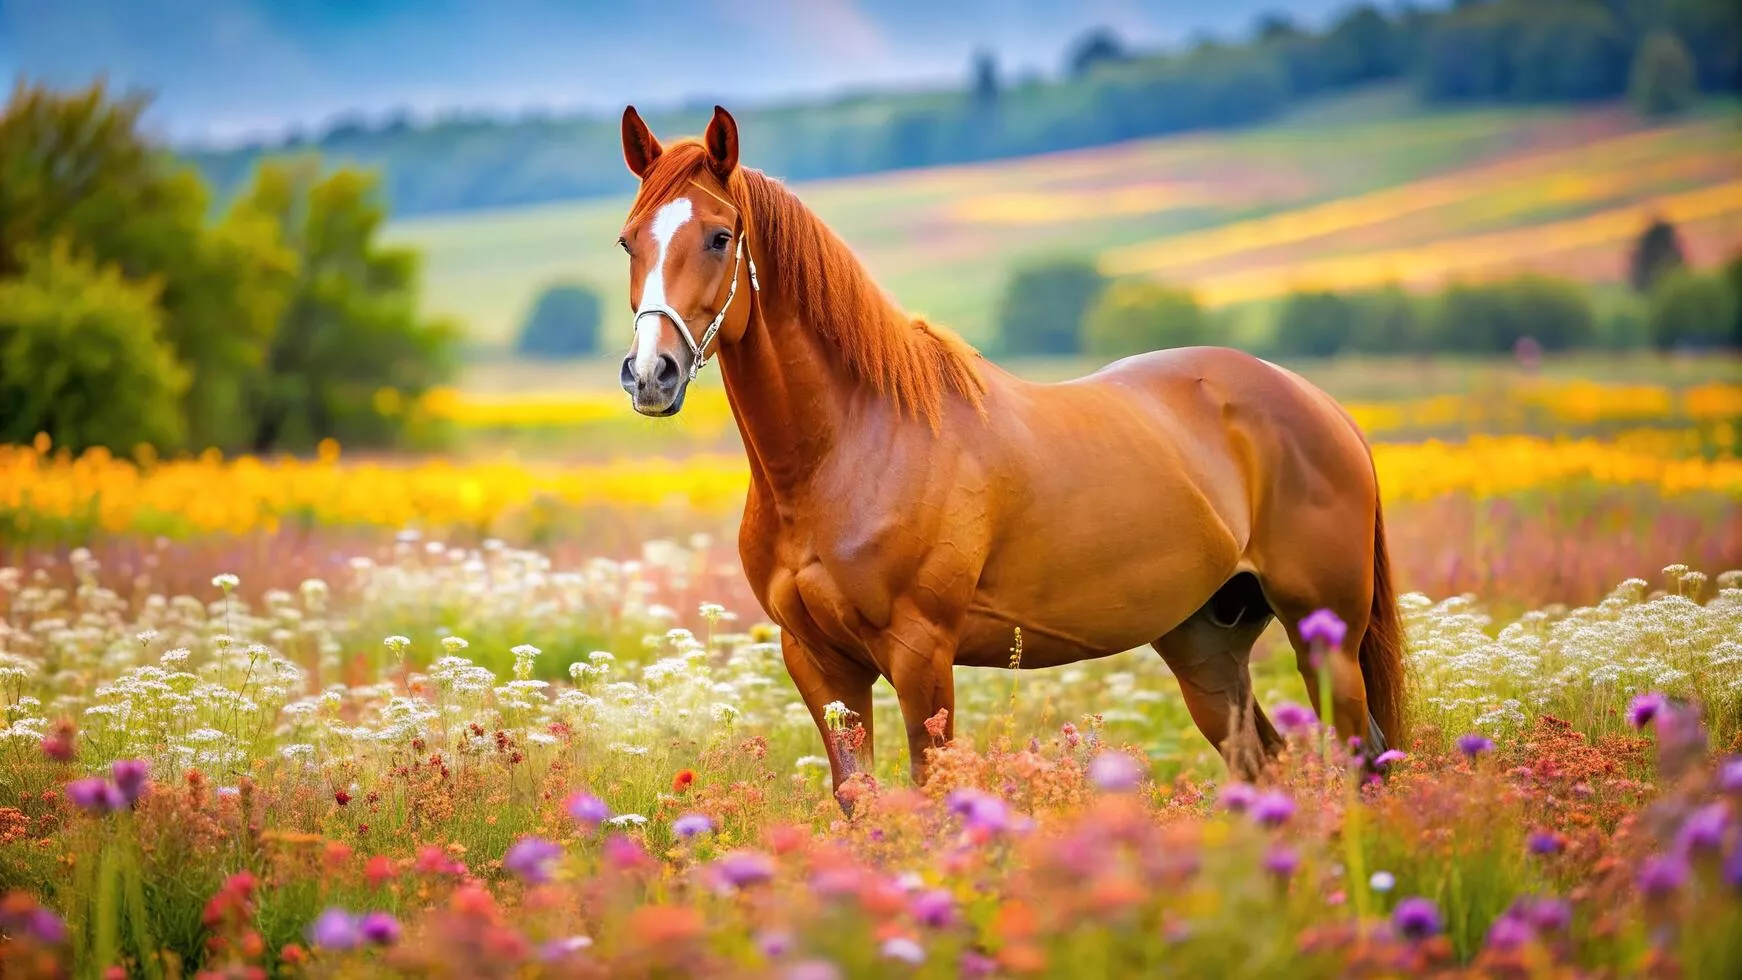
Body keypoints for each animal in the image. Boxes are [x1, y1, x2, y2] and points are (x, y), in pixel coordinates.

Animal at [612, 105, 1406, 797]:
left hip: (1323, 636)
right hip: (1205, 644)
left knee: (1360, 760)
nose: (651, 375)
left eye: (720, 236)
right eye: (629, 240)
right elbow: (859, 800)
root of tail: (1320, 405)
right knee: (1262, 762)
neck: (845, 451)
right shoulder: (817, 662)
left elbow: (933, 794)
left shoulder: (921, 655)